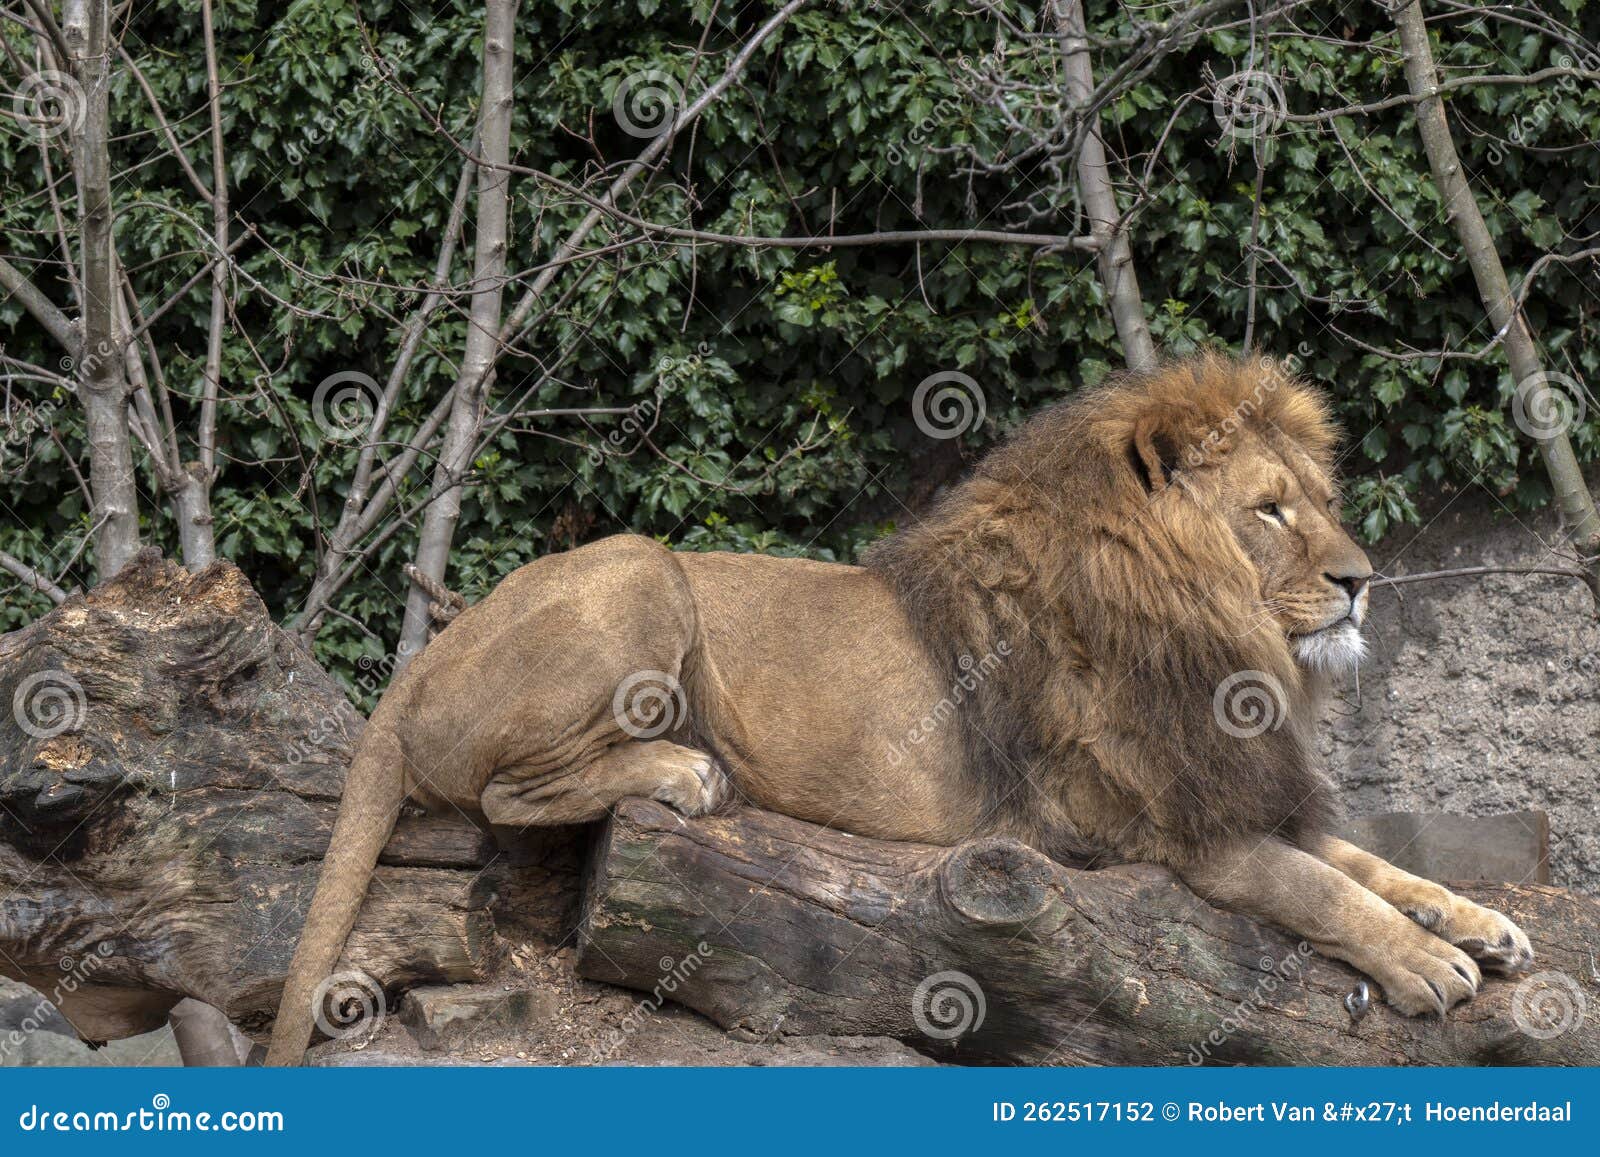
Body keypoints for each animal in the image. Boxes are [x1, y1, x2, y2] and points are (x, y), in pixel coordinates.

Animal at [266, 353, 1532, 1065]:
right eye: (1270, 511)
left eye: (1319, 499)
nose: (1363, 576)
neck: (1215, 626)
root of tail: (428, 653)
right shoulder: (1163, 831)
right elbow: (1316, 886)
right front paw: (1428, 965)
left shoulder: (1237, 783)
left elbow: (1371, 860)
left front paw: (1482, 923)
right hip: (640, 566)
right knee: (505, 791)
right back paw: (681, 769)